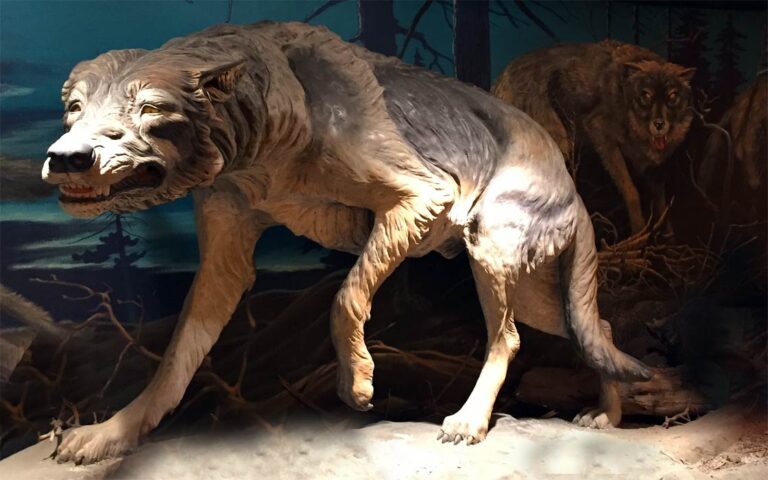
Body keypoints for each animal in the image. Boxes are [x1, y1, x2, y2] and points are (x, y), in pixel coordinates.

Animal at [42, 22, 651, 463]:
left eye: (148, 110)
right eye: (75, 108)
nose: (66, 158)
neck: (263, 136)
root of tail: (574, 188)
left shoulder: (420, 197)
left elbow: (346, 297)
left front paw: (357, 382)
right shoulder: (225, 259)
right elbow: (175, 360)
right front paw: (111, 434)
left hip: (490, 254)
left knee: (509, 340)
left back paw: (470, 421)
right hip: (529, 290)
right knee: (597, 326)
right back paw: (608, 418)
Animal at [492, 40, 695, 233]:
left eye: (672, 96)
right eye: (646, 95)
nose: (659, 124)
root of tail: (499, 81)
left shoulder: (654, 166)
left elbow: (661, 200)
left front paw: (667, 235)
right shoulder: (602, 137)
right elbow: (631, 191)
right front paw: (639, 232)